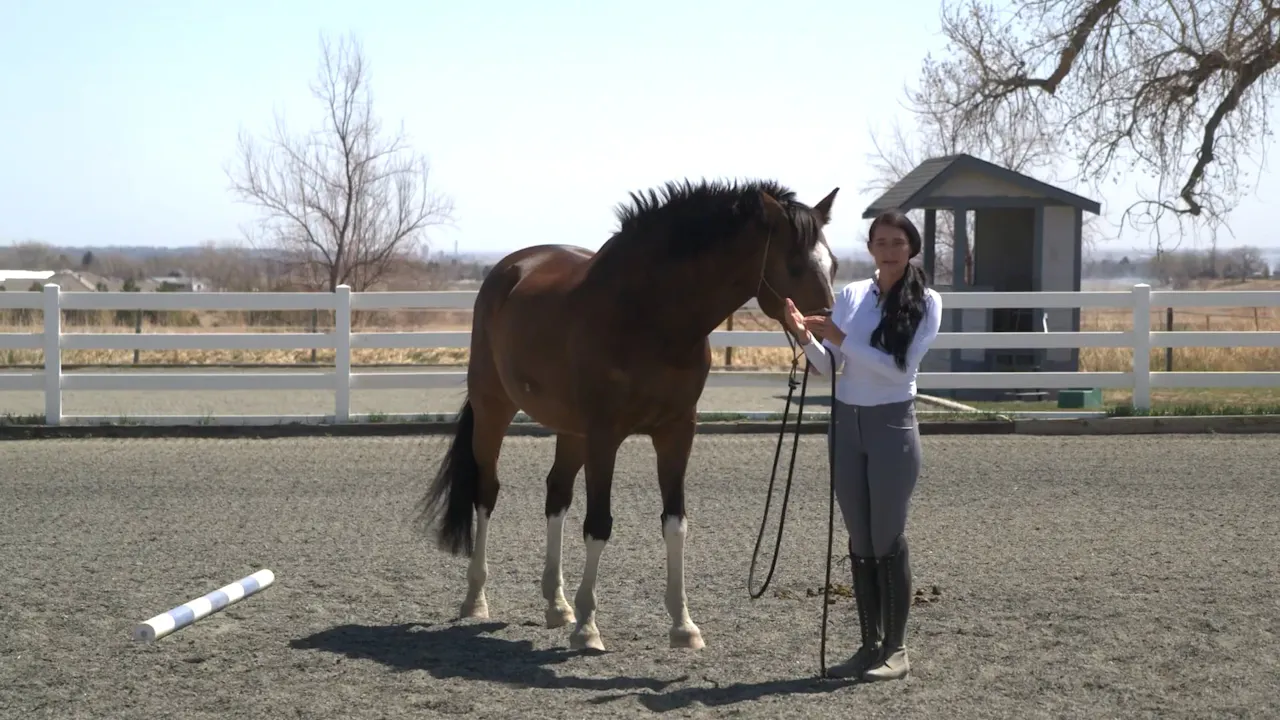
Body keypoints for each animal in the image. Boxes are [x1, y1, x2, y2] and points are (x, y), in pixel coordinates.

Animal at [413, 177, 840, 652]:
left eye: (835, 264)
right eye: (795, 265)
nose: (826, 338)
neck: (650, 316)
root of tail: (507, 270)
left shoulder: (677, 432)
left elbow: (676, 524)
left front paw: (683, 626)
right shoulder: (605, 435)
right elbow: (599, 524)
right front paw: (588, 628)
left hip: (571, 430)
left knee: (556, 495)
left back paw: (557, 605)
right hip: (495, 410)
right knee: (486, 492)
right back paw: (476, 600)